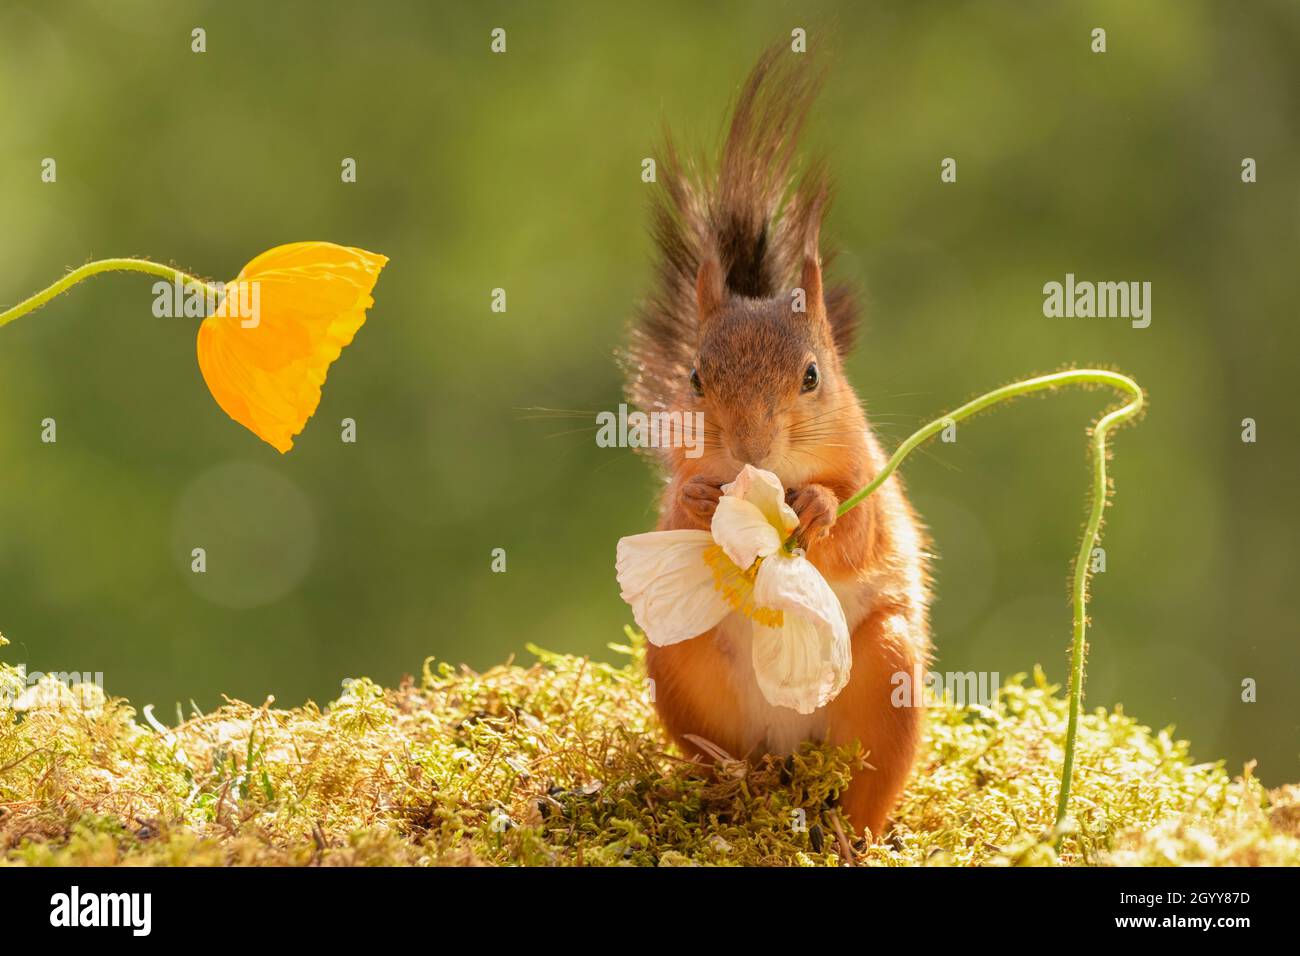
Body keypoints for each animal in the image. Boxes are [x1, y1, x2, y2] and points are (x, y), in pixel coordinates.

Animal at [624, 45, 931, 840]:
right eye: (695, 378)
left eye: (813, 376)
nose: (750, 448)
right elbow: (672, 512)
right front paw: (702, 502)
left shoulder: (870, 475)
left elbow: (859, 531)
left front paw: (818, 509)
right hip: (678, 665)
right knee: (725, 754)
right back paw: (730, 787)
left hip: (888, 665)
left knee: (866, 789)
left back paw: (851, 834)